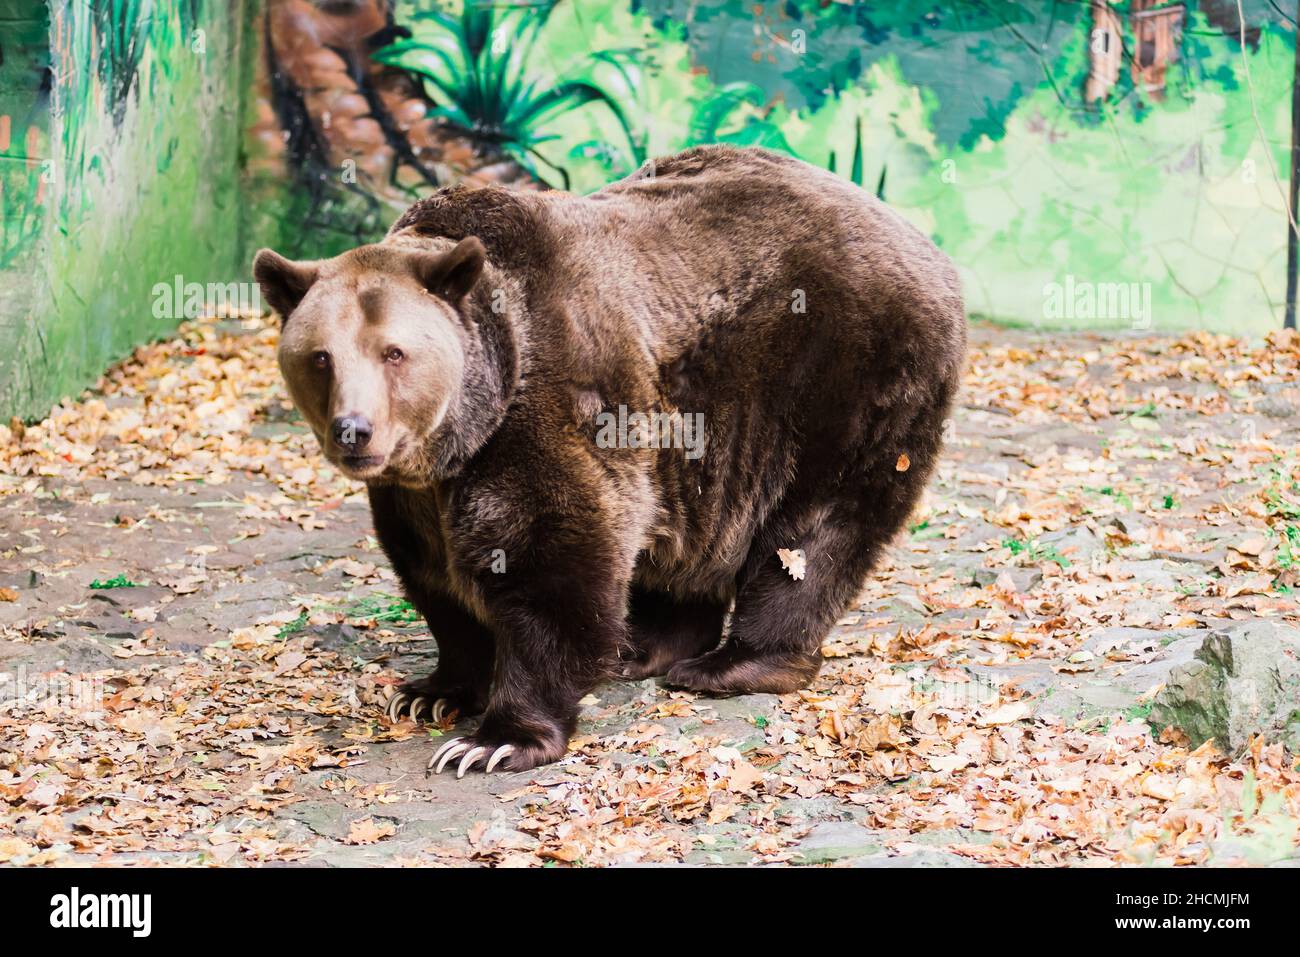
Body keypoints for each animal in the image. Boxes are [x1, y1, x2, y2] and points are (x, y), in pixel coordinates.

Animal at [253, 145, 967, 776]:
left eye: (393, 352)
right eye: (321, 357)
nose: (354, 431)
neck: (463, 430)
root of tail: (922, 242)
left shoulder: (548, 405)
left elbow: (551, 566)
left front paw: (494, 740)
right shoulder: (417, 491)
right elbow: (433, 575)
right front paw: (433, 690)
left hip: (846, 378)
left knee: (813, 536)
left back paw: (735, 663)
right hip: (703, 453)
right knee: (687, 544)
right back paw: (644, 647)